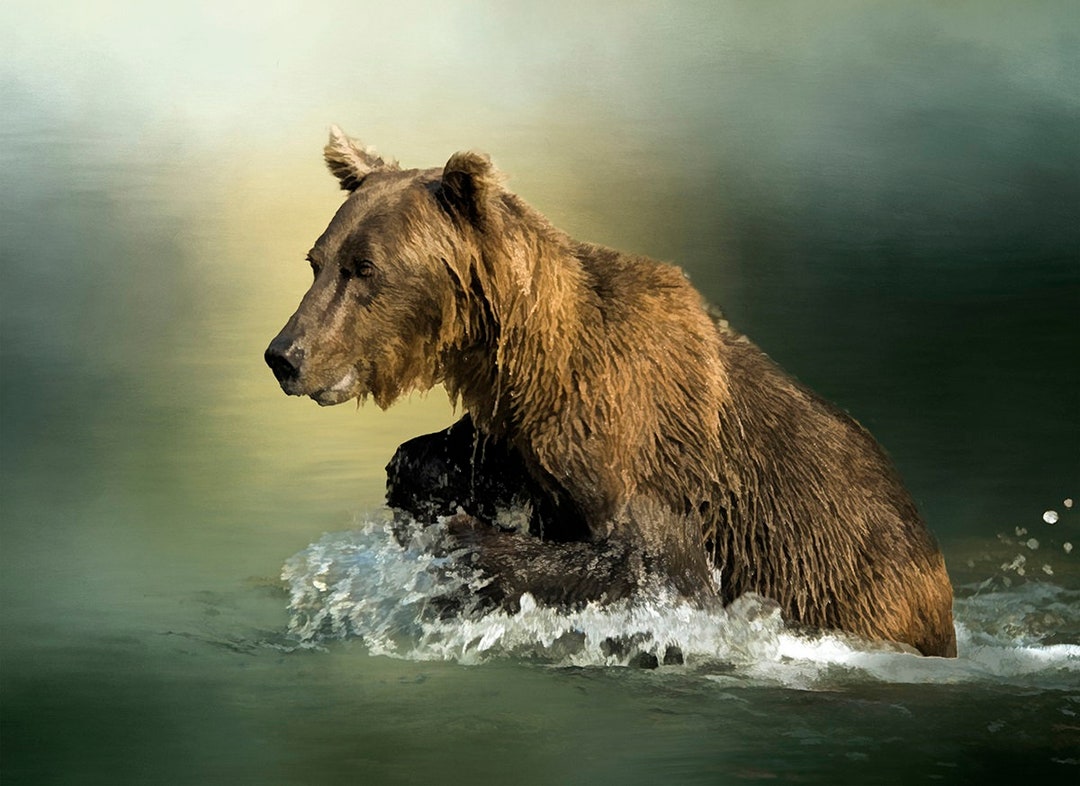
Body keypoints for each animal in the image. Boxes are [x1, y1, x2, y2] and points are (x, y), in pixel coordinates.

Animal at [265, 126, 957, 657]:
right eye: (316, 261)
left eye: (365, 268)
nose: (284, 355)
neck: (533, 362)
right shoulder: (525, 439)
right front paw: (417, 480)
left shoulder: (632, 437)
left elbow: (653, 568)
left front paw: (460, 544)